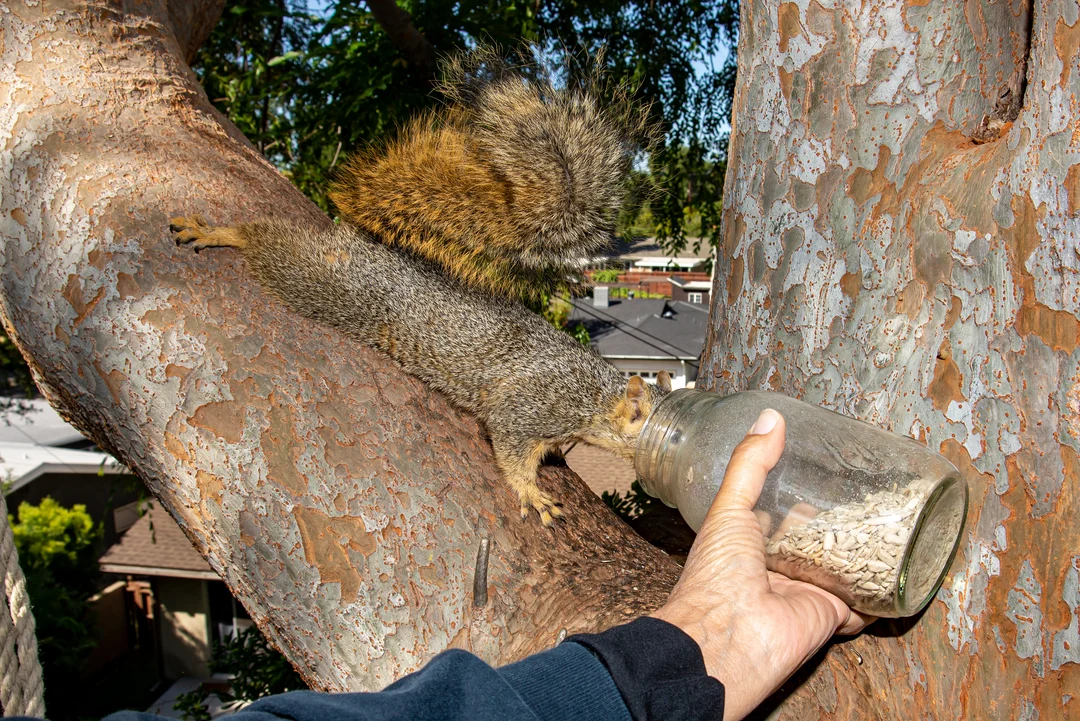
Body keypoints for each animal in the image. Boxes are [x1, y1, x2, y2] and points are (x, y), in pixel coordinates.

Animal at [171, 50, 671, 525]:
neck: (595, 395)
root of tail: (371, 243)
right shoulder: (531, 406)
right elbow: (511, 449)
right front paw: (532, 493)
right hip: (341, 290)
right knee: (276, 251)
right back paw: (224, 233)